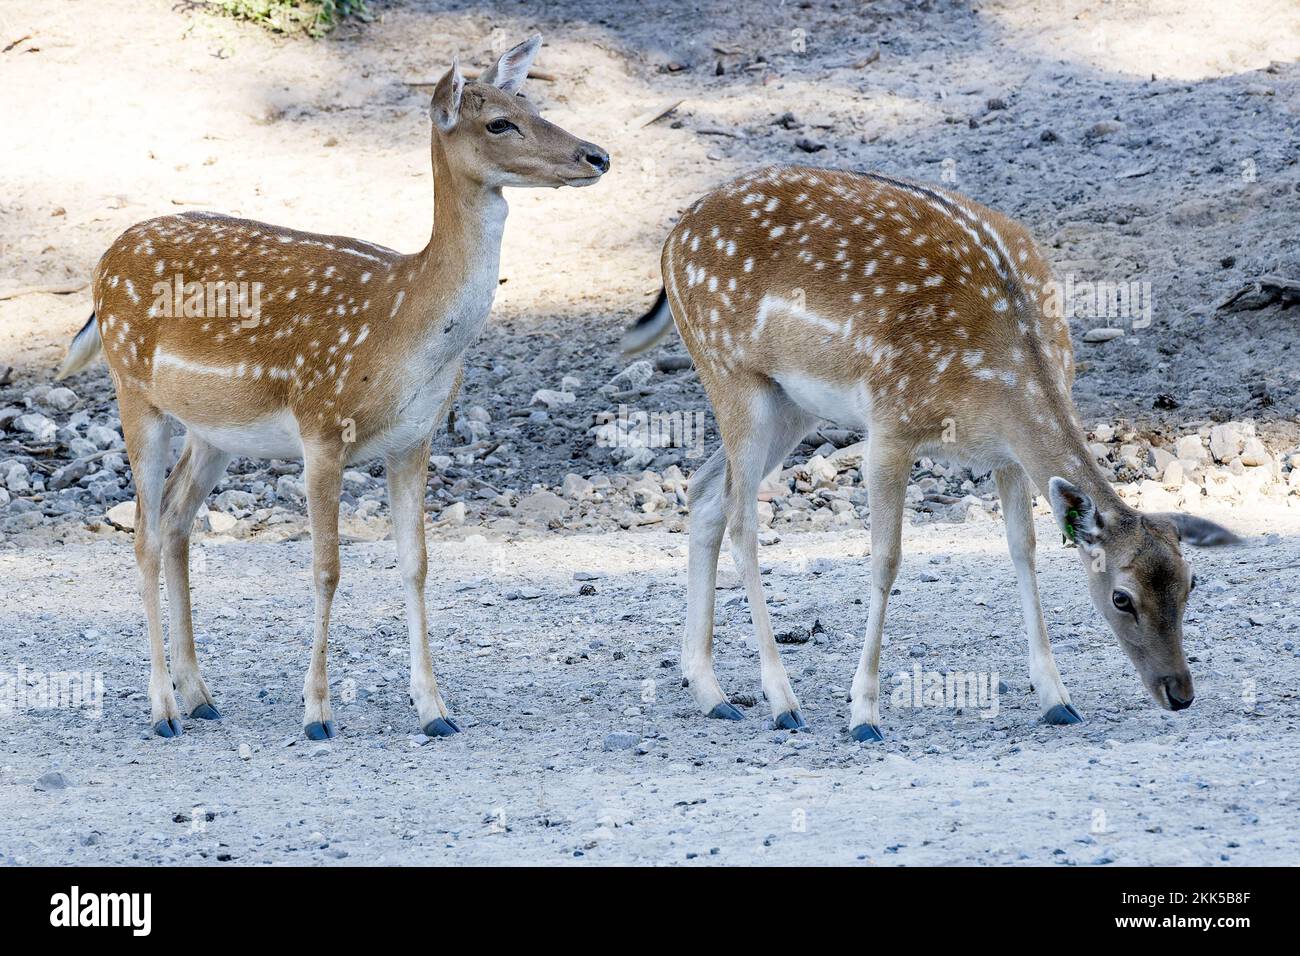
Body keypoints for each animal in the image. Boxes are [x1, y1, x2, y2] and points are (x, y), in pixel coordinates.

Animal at [54, 35, 609, 741]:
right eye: (498, 122)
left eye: (533, 103)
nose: (597, 155)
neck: (403, 325)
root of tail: (102, 266)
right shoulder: (321, 423)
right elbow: (326, 568)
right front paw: (316, 713)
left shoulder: (415, 438)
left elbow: (417, 564)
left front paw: (435, 710)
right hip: (132, 387)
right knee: (145, 536)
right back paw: (163, 710)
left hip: (215, 431)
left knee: (177, 518)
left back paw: (201, 695)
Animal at [621, 165, 1239, 742]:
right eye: (1122, 597)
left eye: (1190, 583)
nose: (1179, 692)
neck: (996, 383)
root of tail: (671, 240)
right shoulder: (890, 425)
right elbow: (886, 560)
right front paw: (864, 715)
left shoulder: (1006, 456)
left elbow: (1024, 548)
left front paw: (1057, 699)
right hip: (730, 372)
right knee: (742, 519)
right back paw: (782, 702)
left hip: (791, 403)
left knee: (705, 493)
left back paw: (712, 693)